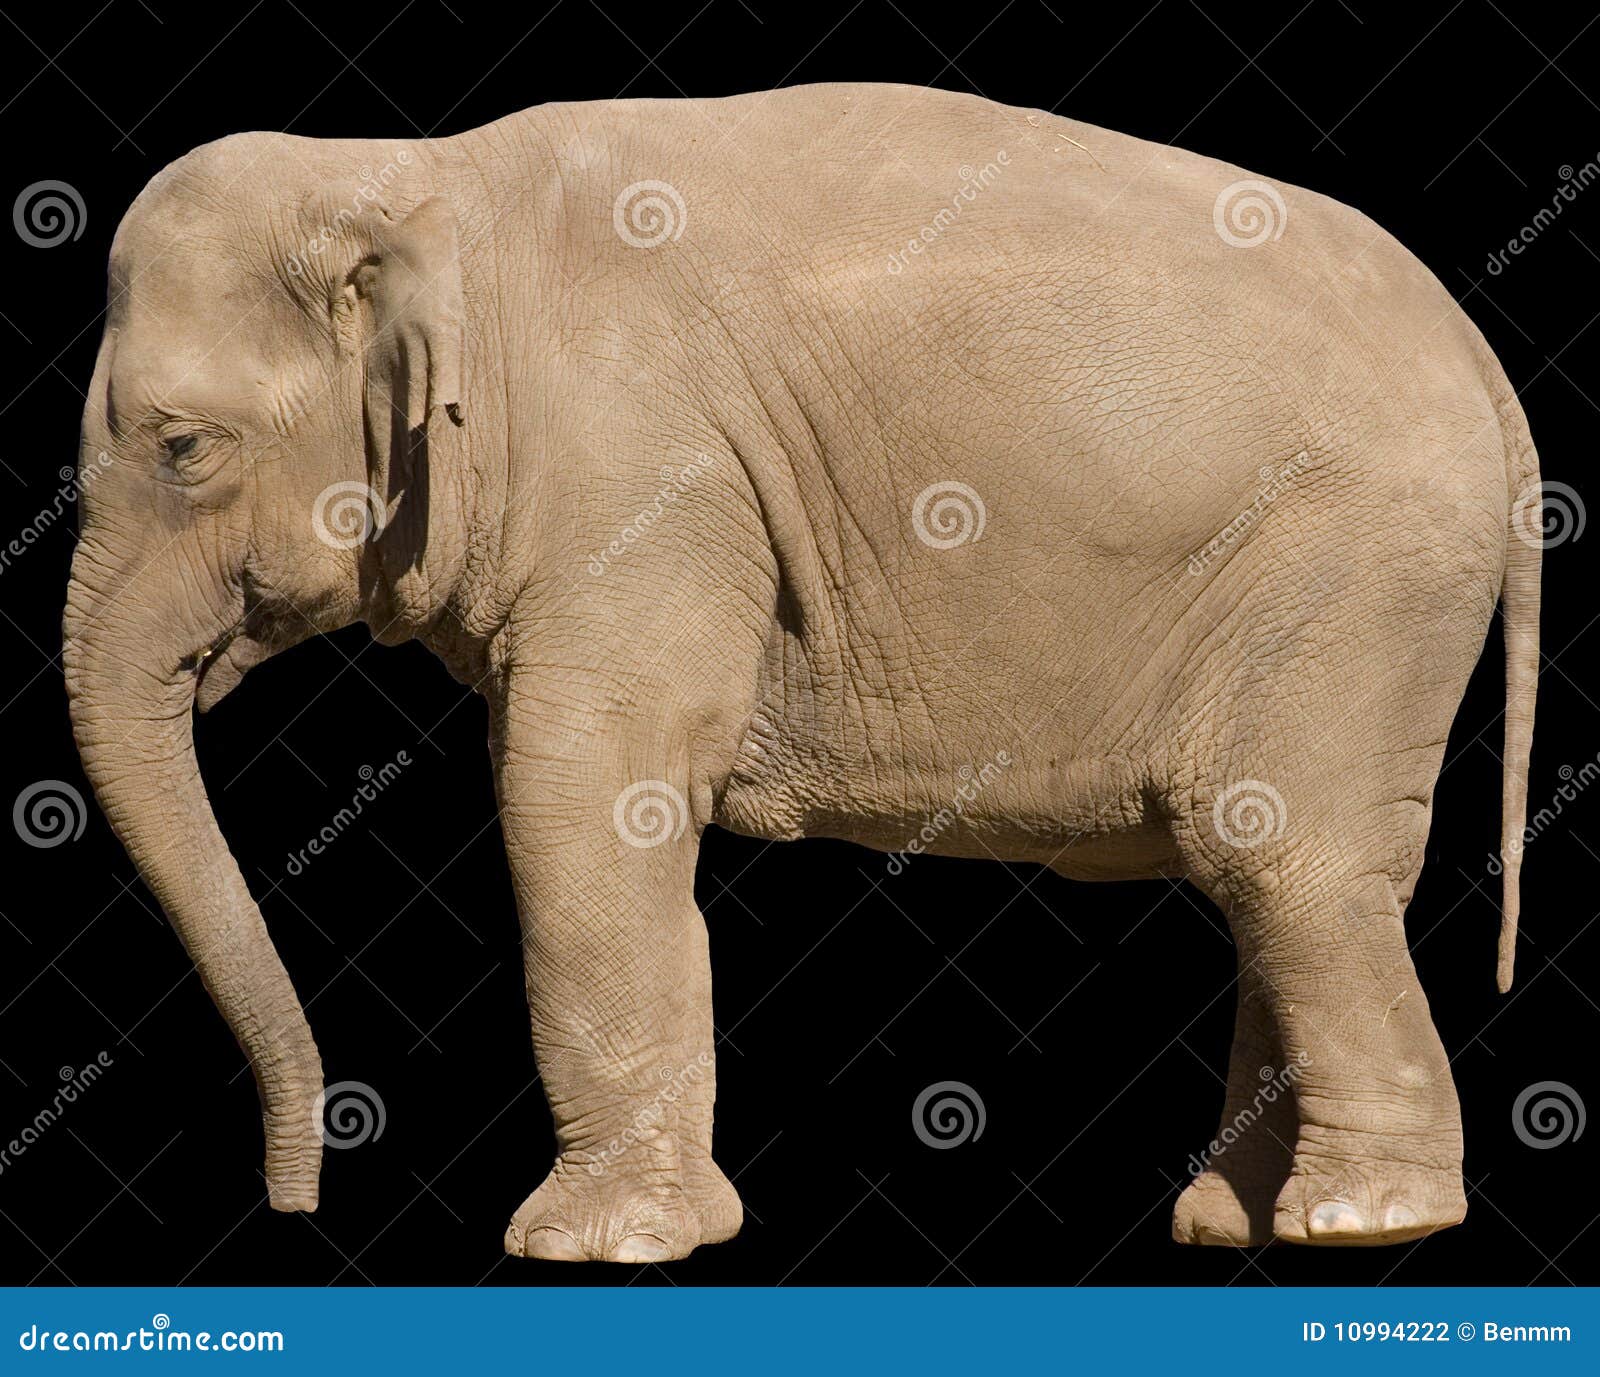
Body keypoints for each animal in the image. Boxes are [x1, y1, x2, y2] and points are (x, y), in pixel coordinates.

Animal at [64, 81, 1539, 1262]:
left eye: (183, 447)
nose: (295, 1208)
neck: (417, 177)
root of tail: (1481, 359)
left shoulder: (643, 482)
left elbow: (575, 795)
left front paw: (596, 1248)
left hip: (1357, 580)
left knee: (1284, 852)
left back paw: (1361, 1223)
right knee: (1269, 870)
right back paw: (1236, 1224)